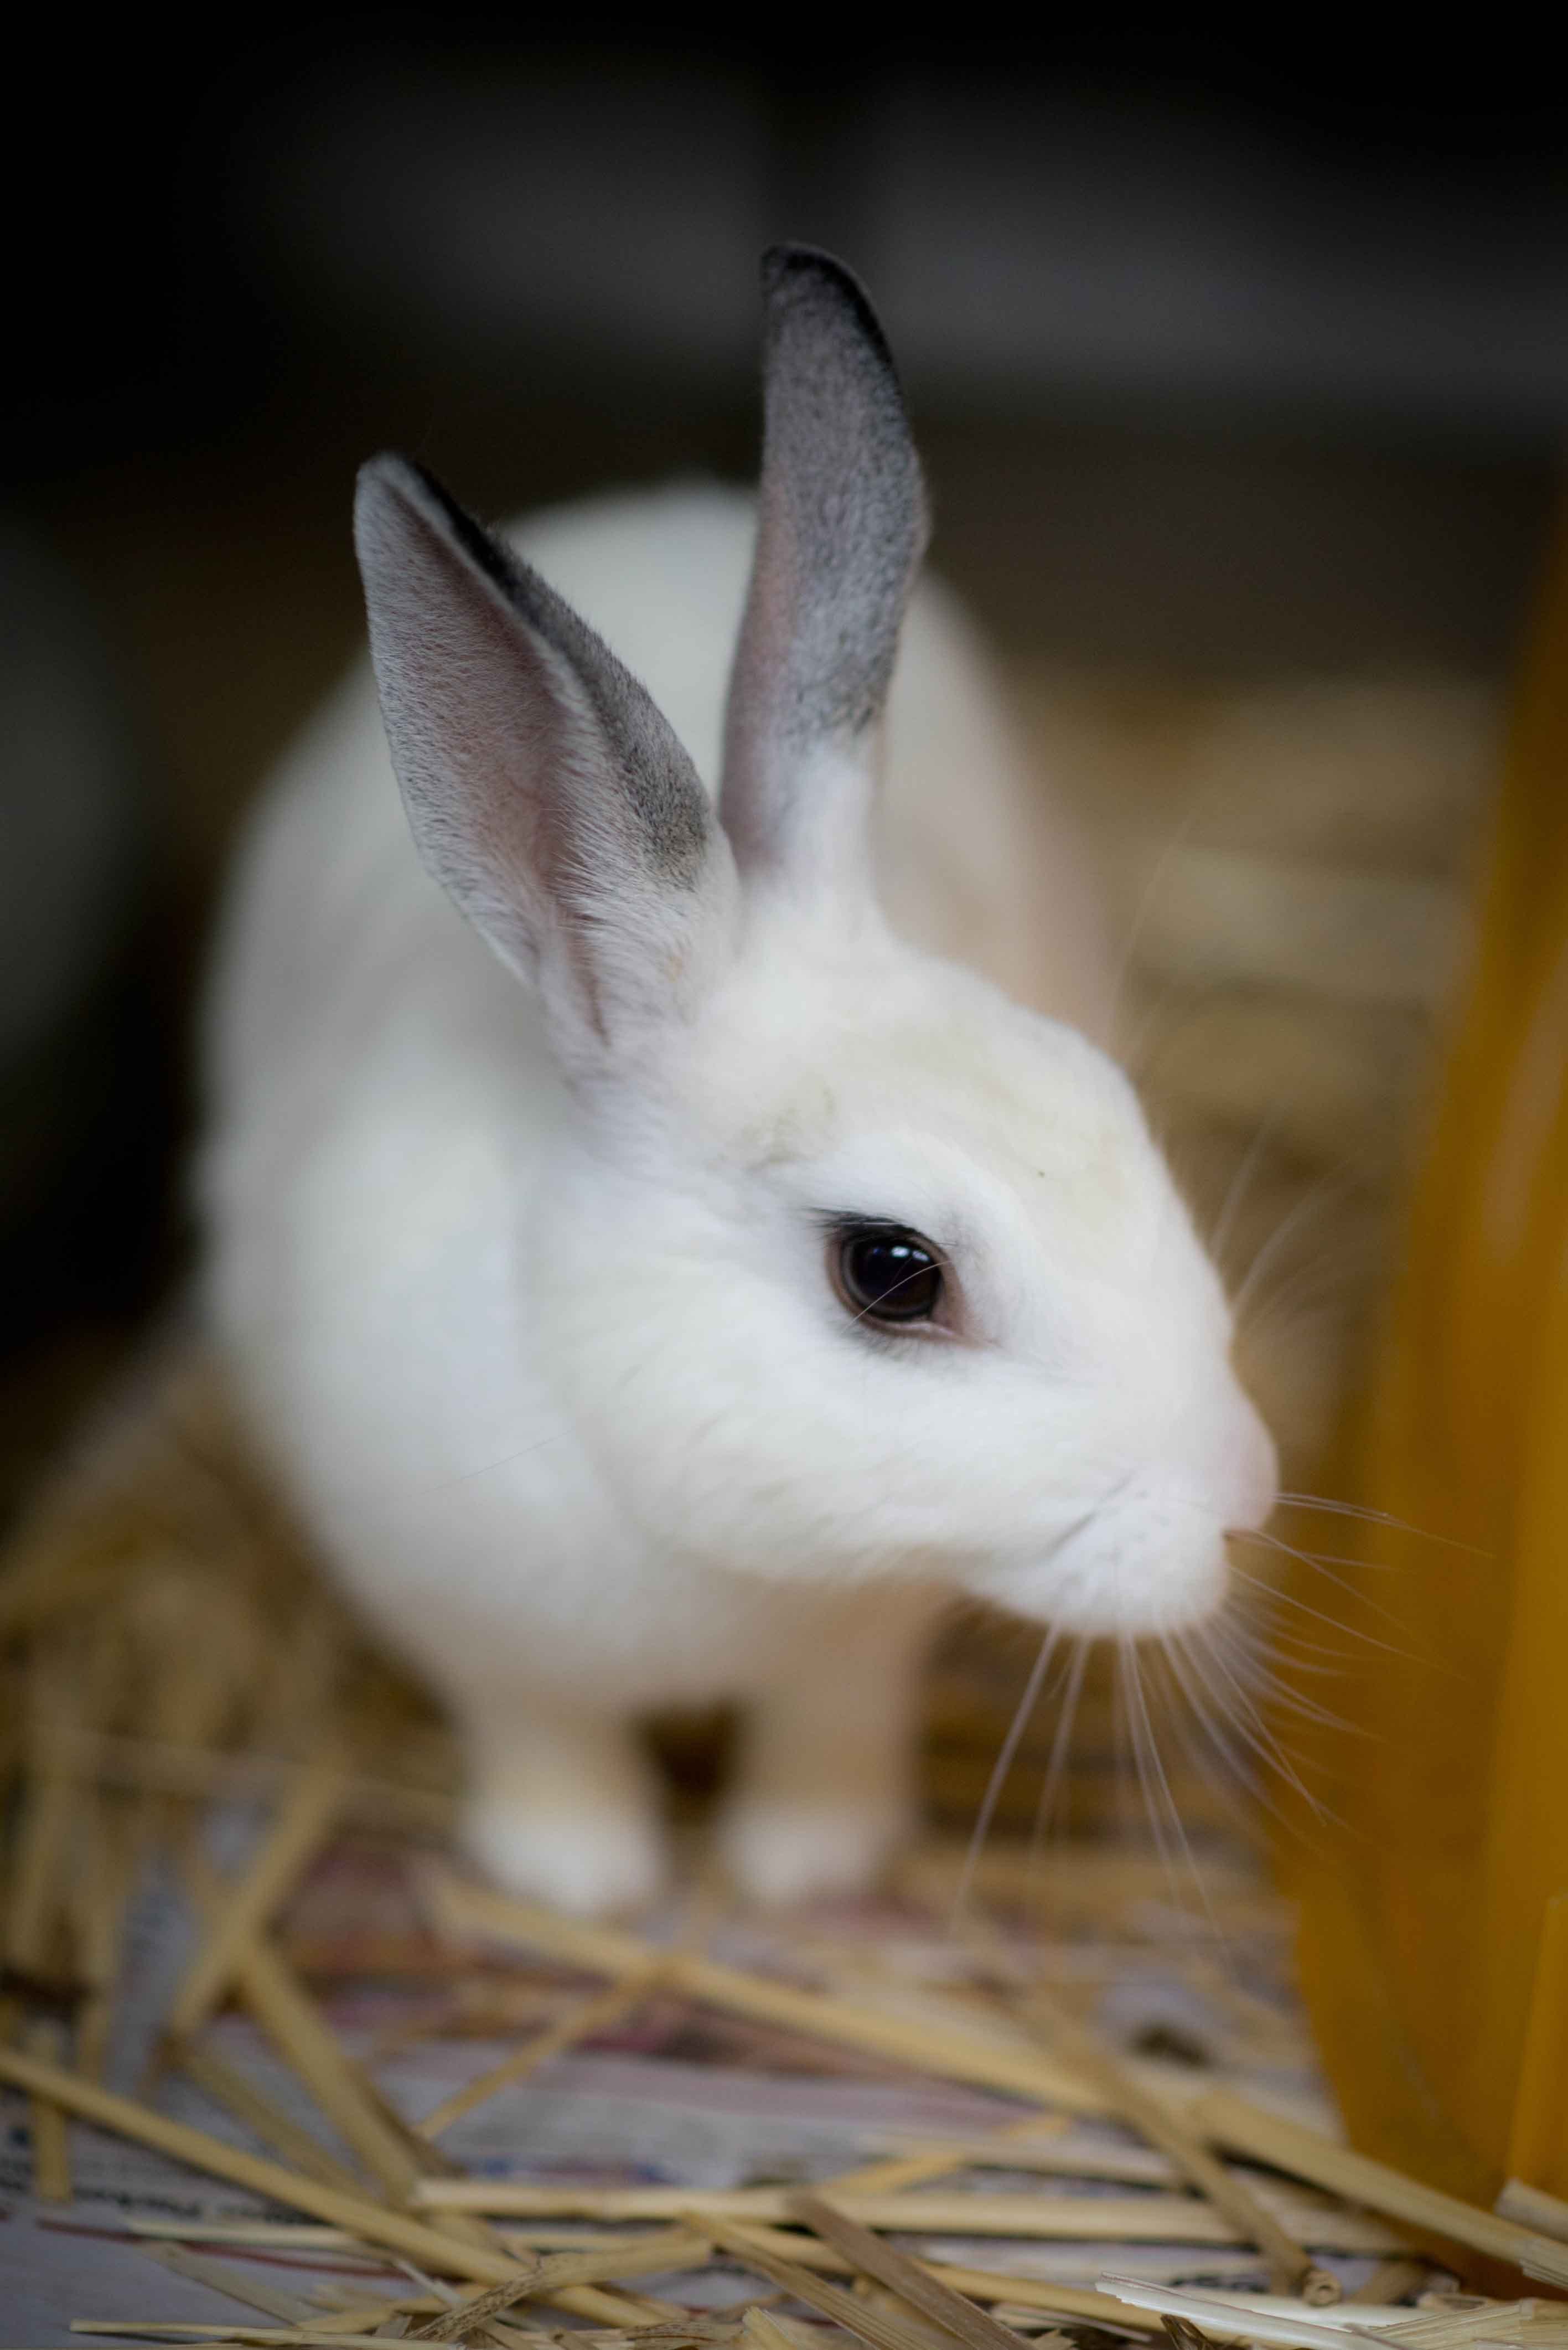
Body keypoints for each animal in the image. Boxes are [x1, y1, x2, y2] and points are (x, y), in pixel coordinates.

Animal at [200, 246, 1277, 1917]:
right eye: (890, 1271)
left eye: (1112, 1106)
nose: (1245, 1488)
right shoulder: (482, 1645)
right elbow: (544, 1741)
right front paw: (576, 1876)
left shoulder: (859, 1657)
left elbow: (824, 1734)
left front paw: (805, 1866)